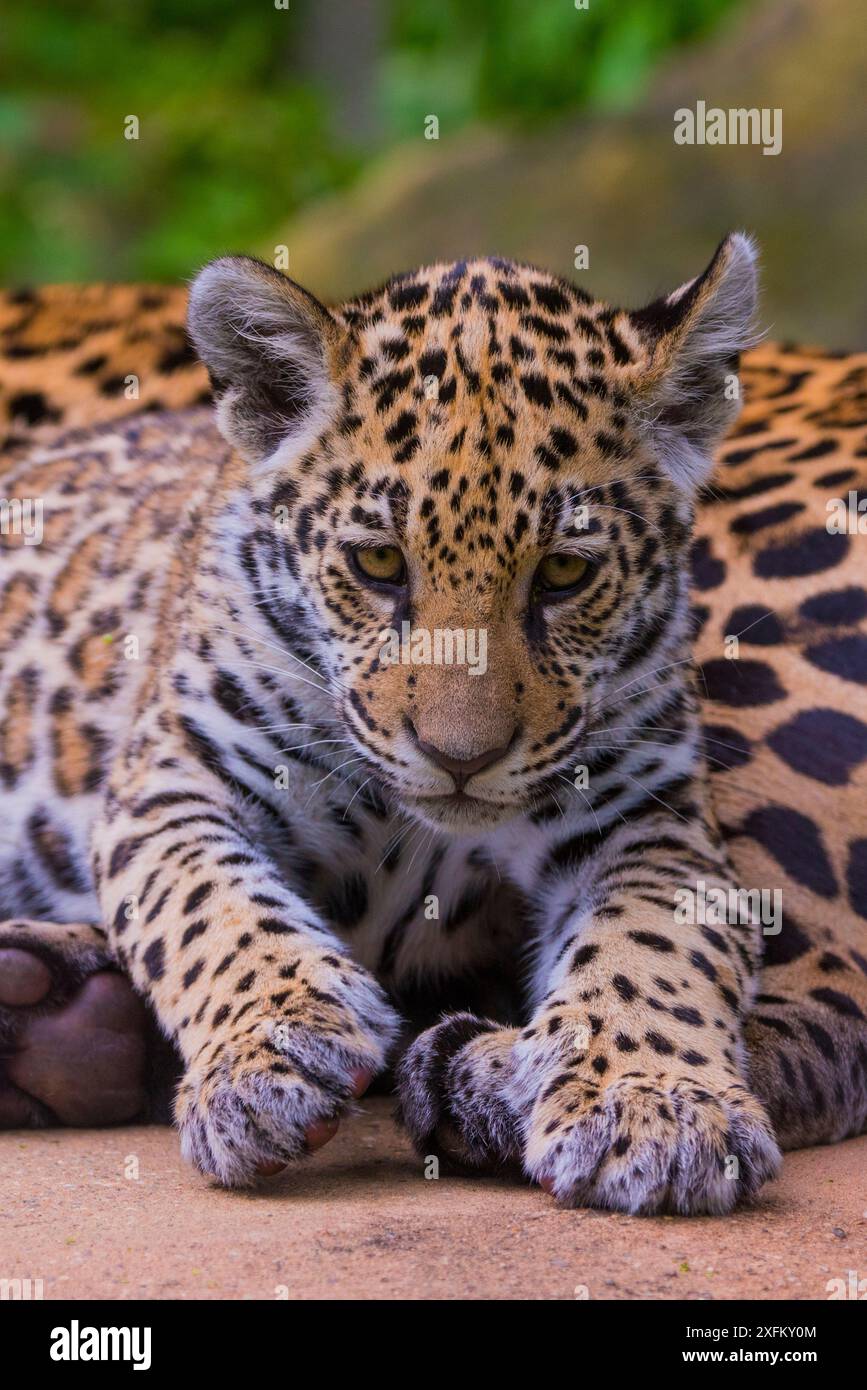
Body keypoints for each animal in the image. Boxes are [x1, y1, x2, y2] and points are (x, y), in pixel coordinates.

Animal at [1, 234, 865, 1215]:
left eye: (564, 573)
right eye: (378, 563)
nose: (460, 759)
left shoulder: (647, 822)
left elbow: (654, 949)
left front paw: (650, 1103)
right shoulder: (176, 780)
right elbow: (204, 905)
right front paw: (275, 1049)